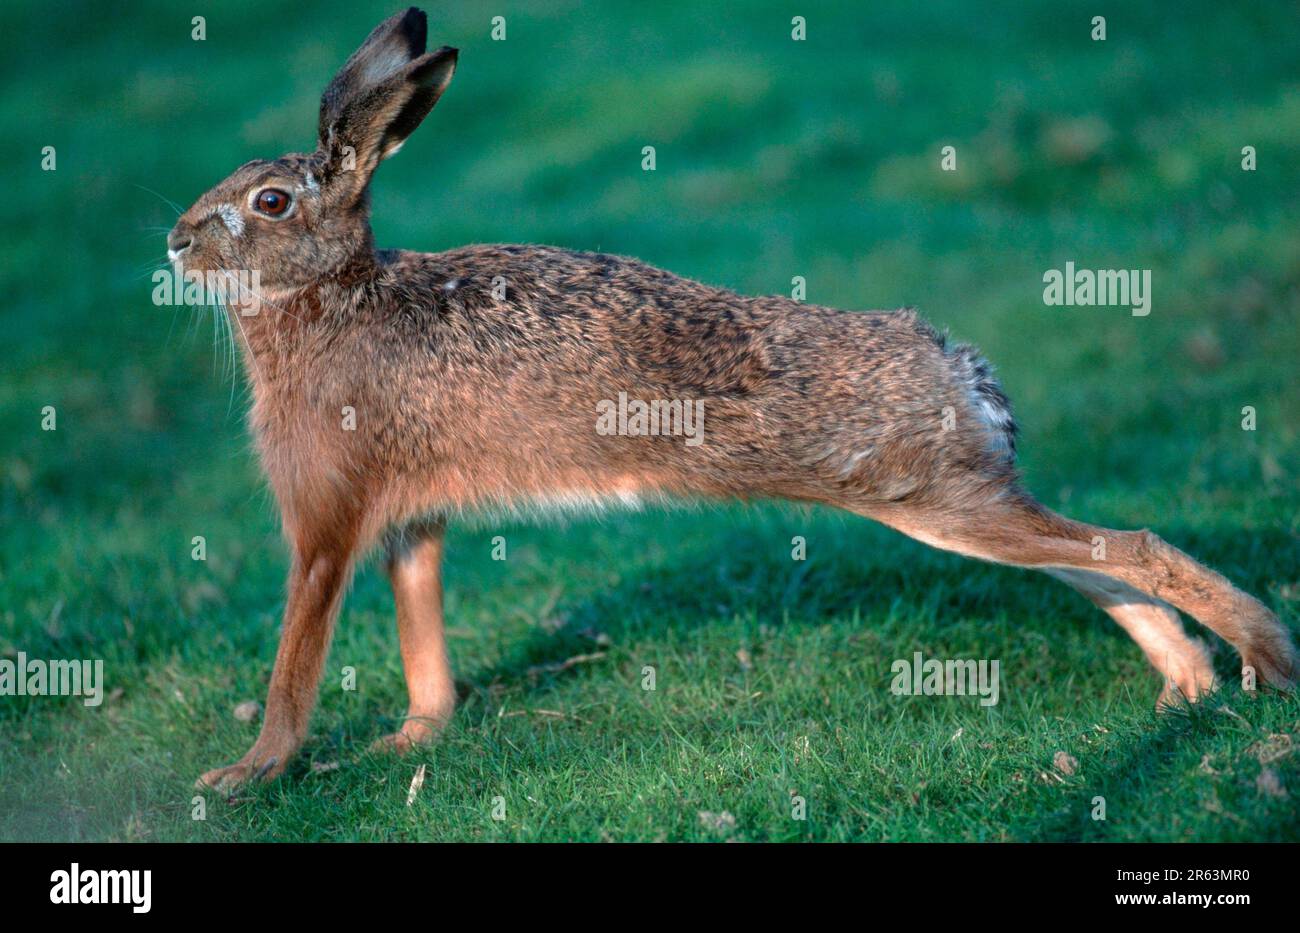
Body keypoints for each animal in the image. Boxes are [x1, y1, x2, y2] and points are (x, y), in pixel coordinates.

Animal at [168, 8, 1297, 793]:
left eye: (269, 202)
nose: (176, 241)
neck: (331, 293)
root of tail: (956, 366)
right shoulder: (411, 523)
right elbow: (422, 640)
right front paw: (416, 736)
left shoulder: (326, 522)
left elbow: (296, 658)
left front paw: (245, 776)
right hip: (961, 504)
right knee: (1096, 561)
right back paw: (1187, 686)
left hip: (934, 498)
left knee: (1132, 546)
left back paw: (1265, 659)